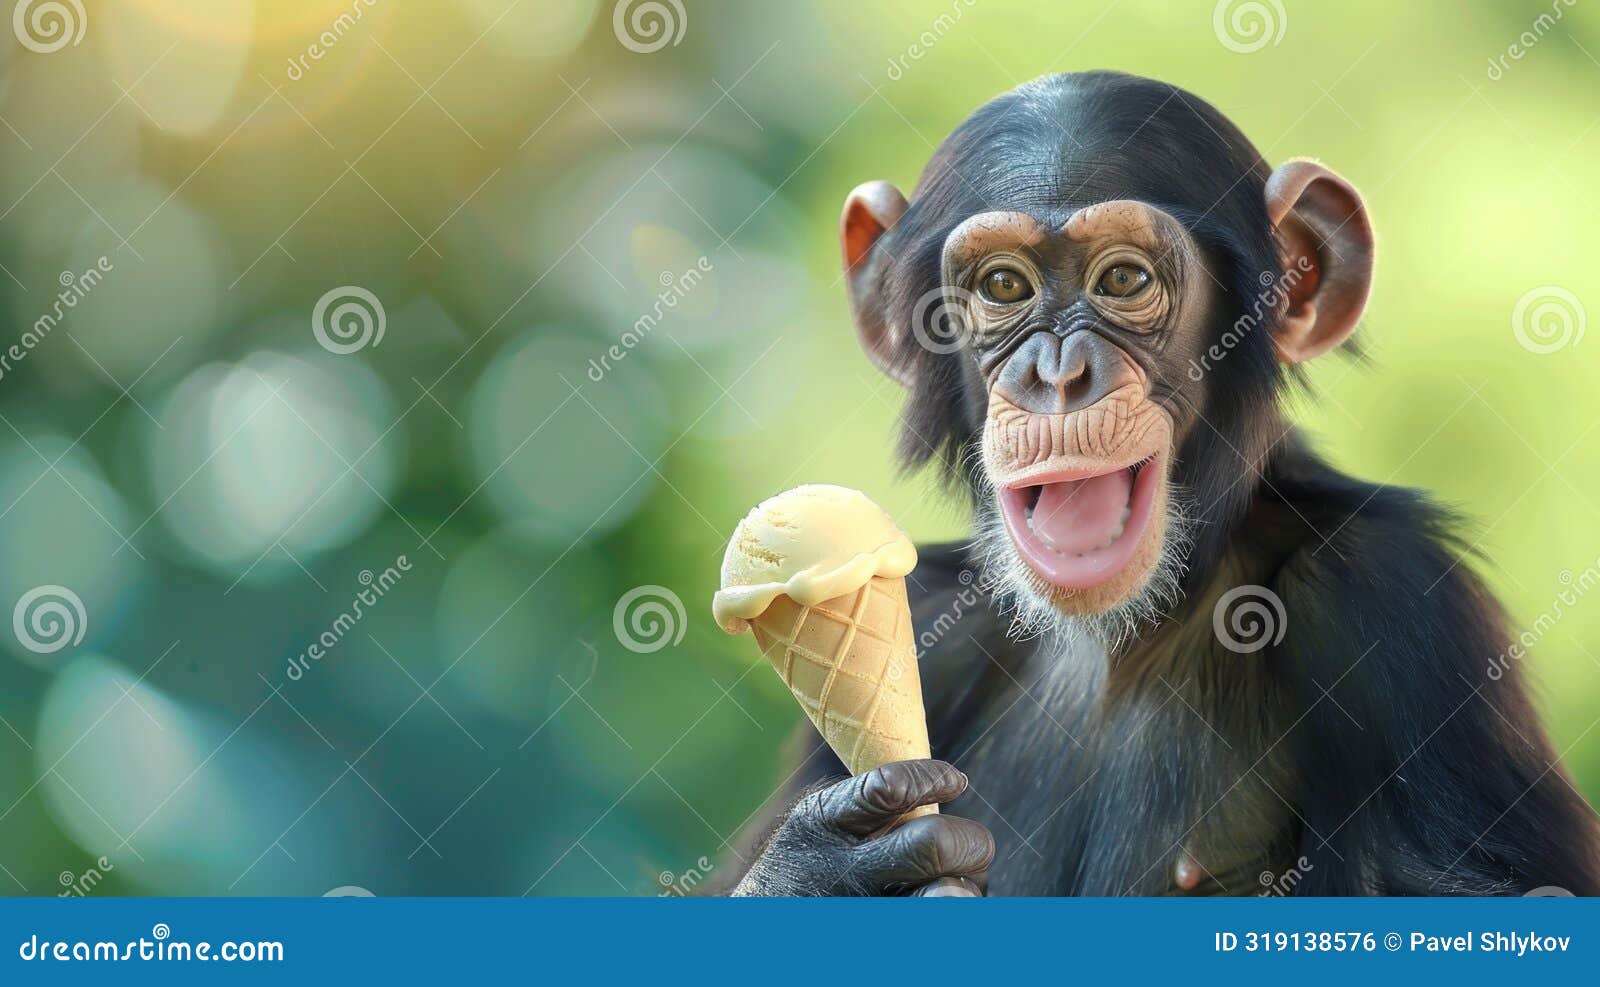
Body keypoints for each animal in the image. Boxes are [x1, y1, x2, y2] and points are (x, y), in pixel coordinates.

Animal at [725, 71, 1600, 897]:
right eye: (1004, 287)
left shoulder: (1399, 607)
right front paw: (823, 865)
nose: (1058, 374)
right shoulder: (929, 610)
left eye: (1123, 279)